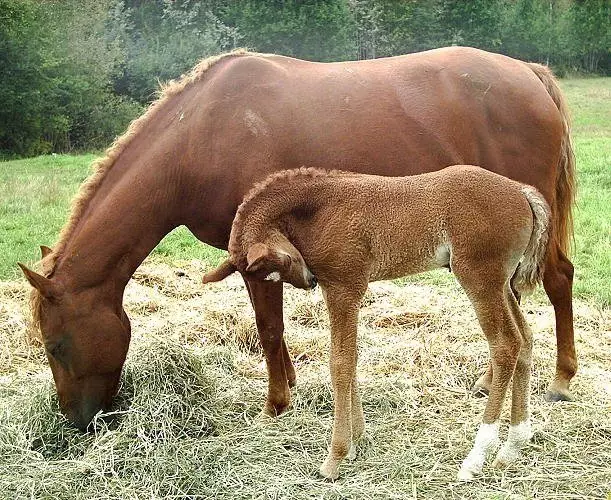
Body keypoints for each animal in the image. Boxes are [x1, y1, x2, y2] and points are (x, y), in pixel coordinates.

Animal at [17, 47, 572, 430]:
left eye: (56, 346)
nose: (77, 422)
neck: (200, 138)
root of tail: (530, 74)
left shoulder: (253, 257)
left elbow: (268, 329)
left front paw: (275, 406)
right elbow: (275, 333)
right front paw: (291, 387)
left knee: (557, 281)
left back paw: (561, 379)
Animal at [204, 167, 548, 480]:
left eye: (282, 262)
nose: (309, 280)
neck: (321, 208)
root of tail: (521, 192)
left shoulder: (344, 288)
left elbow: (340, 363)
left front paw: (336, 456)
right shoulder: (343, 291)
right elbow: (352, 359)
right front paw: (357, 442)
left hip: (480, 279)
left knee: (506, 345)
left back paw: (477, 457)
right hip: (501, 284)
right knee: (525, 339)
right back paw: (511, 448)